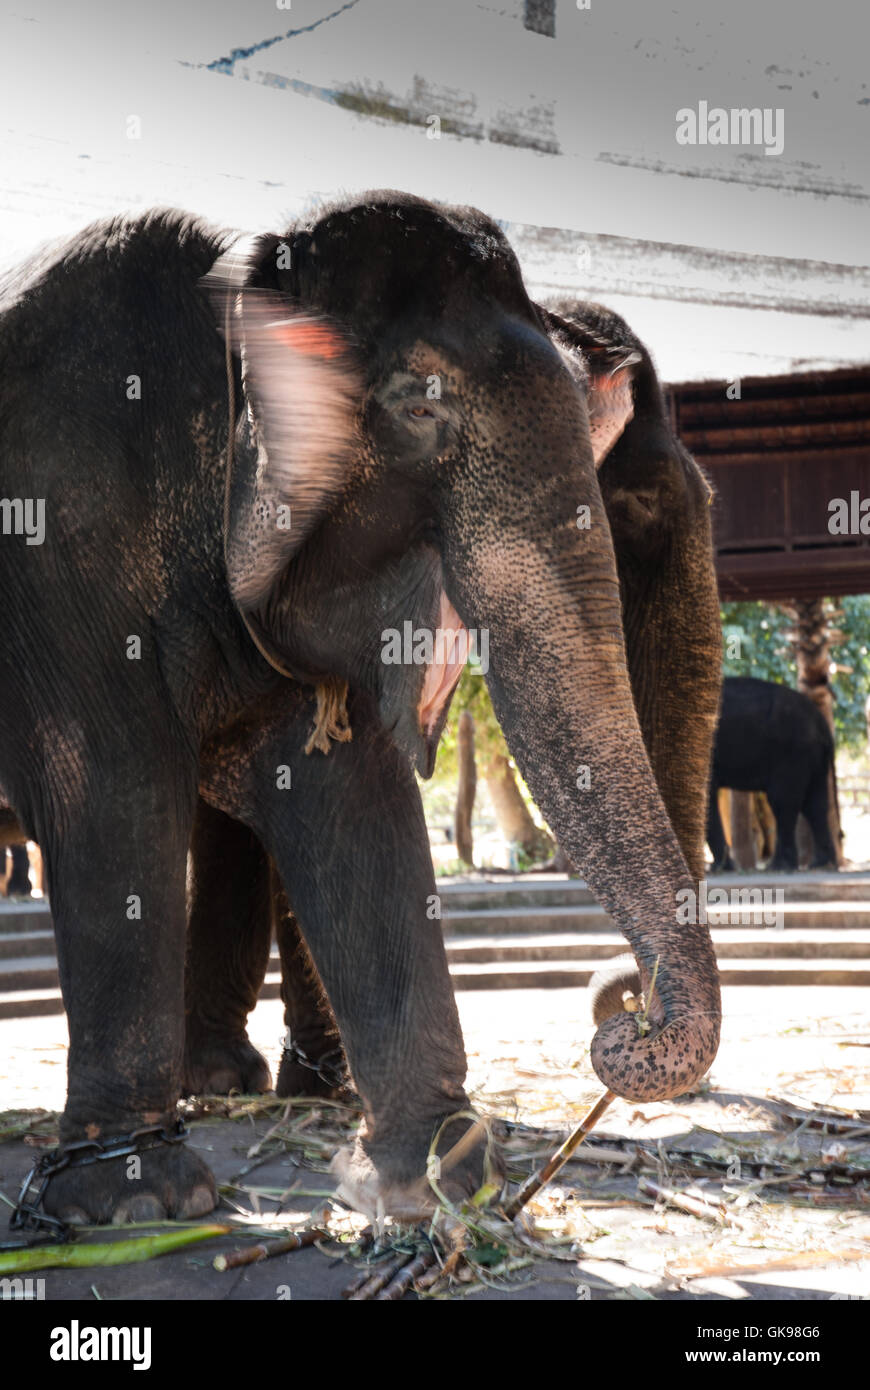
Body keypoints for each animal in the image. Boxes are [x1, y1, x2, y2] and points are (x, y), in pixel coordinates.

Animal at [0, 191, 722, 1227]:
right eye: (421, 408)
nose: (627, 1017)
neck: (240, 272)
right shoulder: (56, 531)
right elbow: (110, 793)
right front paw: (131, 1201)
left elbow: (346, 797)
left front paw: (439, 1175)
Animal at [707, 676, 839, 872]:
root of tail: (821, 724)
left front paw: (721, 868)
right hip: (812, 757)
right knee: (814, 804)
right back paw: (820, 864)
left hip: (793, 752)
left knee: (783, 801)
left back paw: (780, 866)